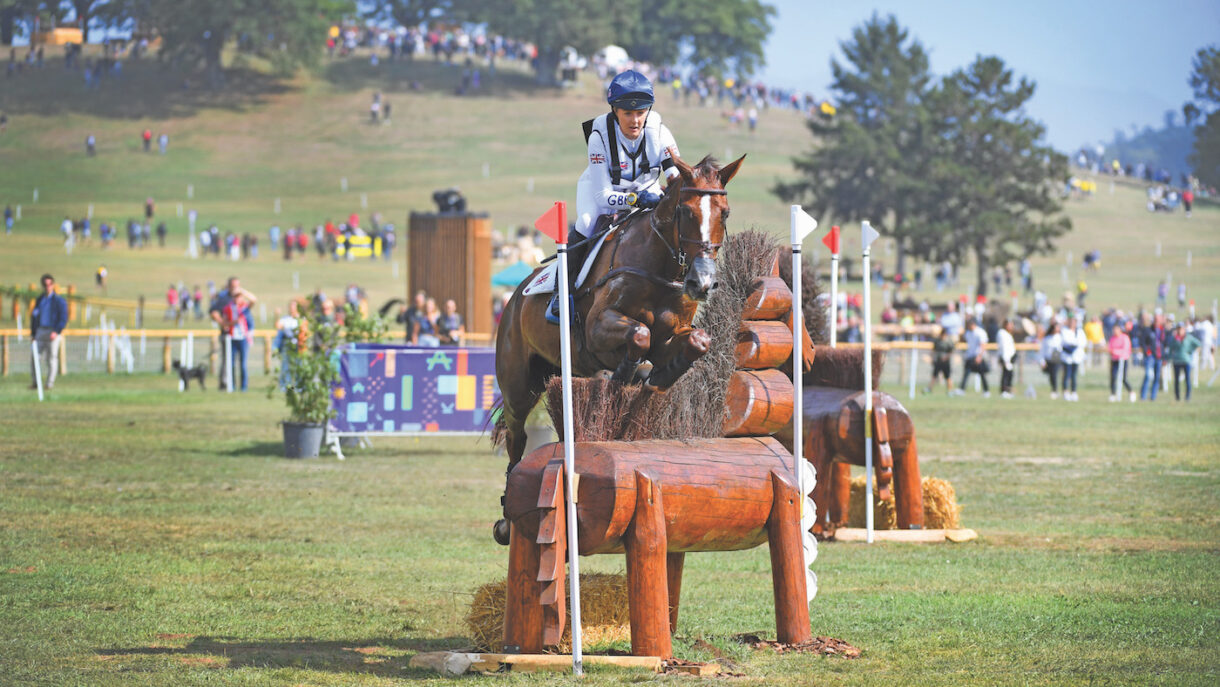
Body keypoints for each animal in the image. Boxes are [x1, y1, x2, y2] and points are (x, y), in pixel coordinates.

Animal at [492, 153, 744, 544]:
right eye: (684, 211)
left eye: (725, 213)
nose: (701, 283)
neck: (661, 265)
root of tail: (516, 296)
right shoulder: (598, 328)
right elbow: (639, 334)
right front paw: (626, 374)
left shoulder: (674, 335)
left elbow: (696, 341)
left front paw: (657, 378)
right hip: (519, 386)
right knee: (516, 438)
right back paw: (506, 517)